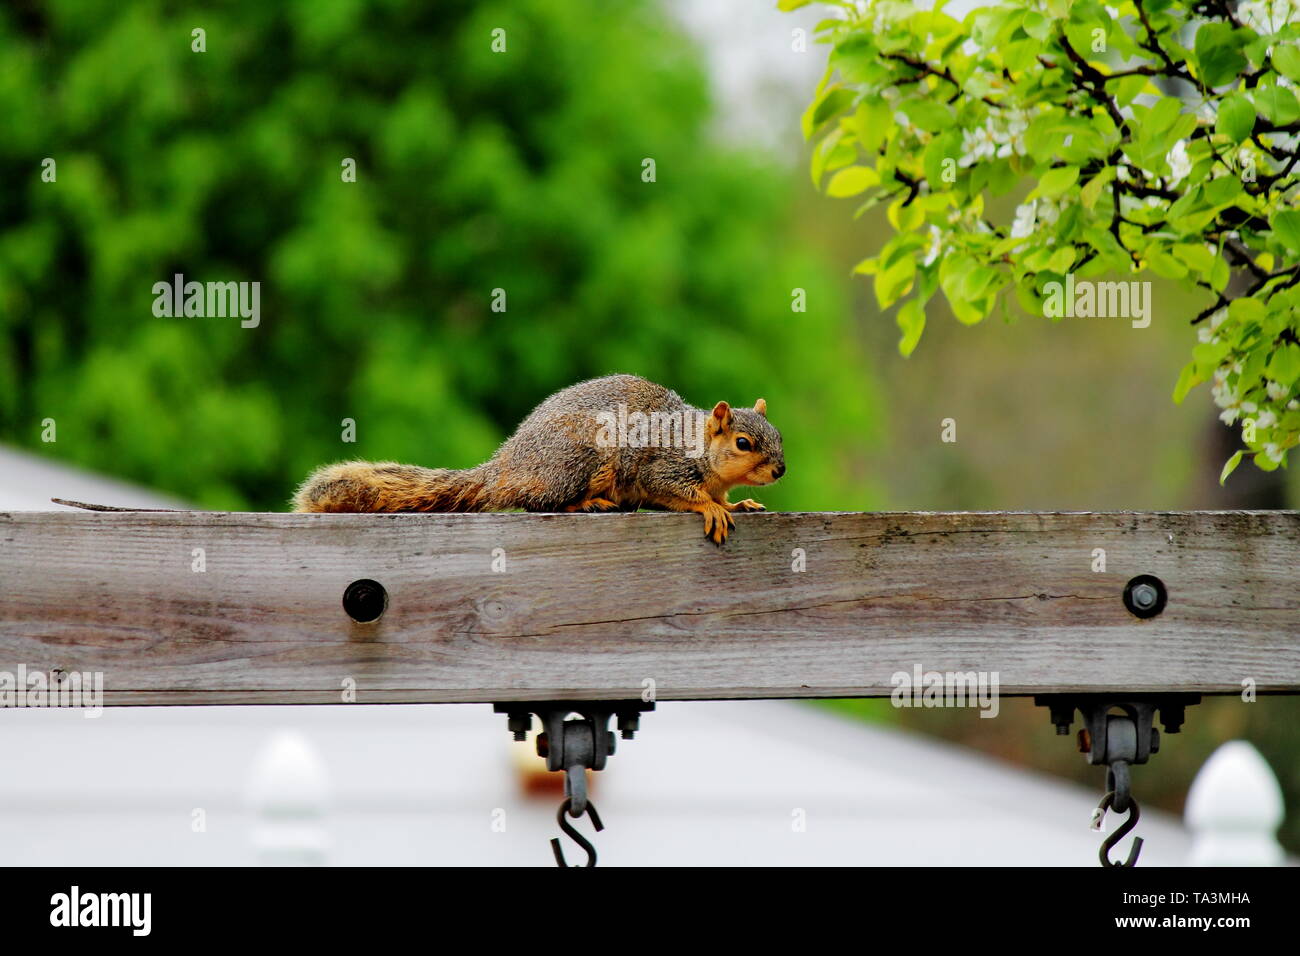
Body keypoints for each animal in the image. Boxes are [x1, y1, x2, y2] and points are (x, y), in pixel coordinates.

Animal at [293, 374, 785, 544]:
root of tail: (508, 465)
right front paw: (712, 508)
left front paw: (738, 503)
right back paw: (586, 503)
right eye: (744, 443)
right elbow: (675, 489)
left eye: (779, 437)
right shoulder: (660, 466)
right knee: (539, 502)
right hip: (576, 463)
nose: (780, 469)